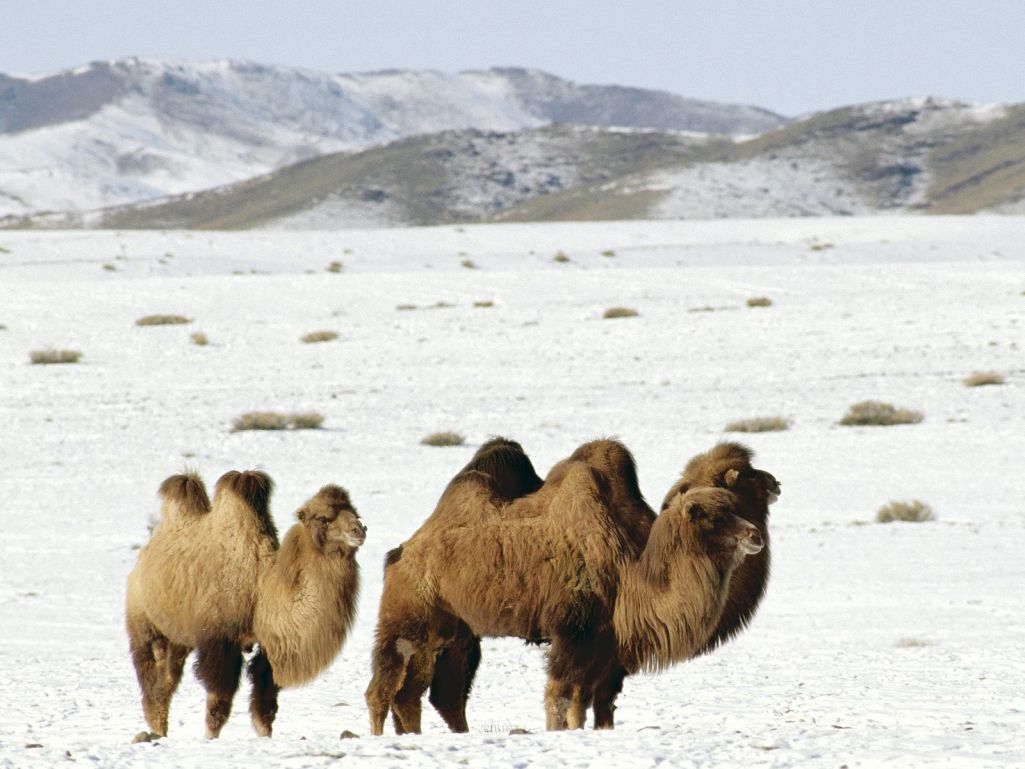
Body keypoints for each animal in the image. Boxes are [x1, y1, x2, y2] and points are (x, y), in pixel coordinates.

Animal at [125, 469, 364, 742]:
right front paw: (210, 738)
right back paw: (155, 730)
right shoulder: (221, 641)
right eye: (323, 519)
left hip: (178, 637)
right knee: (152, 677)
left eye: (356, 513)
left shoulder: (270, 646)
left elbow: (265, 702)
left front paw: (264, 737)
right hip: (144, 622)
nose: (359, 530)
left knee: (167, 679)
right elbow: (219, 701)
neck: (260, 590)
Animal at [366, 438, 762, 734]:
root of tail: (401, 552)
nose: (754, 534)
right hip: (409, 618)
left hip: (454, 632)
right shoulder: (574, 631)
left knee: (431, 694)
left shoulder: (603, 641)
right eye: (713, 516)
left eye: (734, 507)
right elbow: (560, 696)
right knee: (385, 689)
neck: (629, 573)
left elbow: (587, 701)